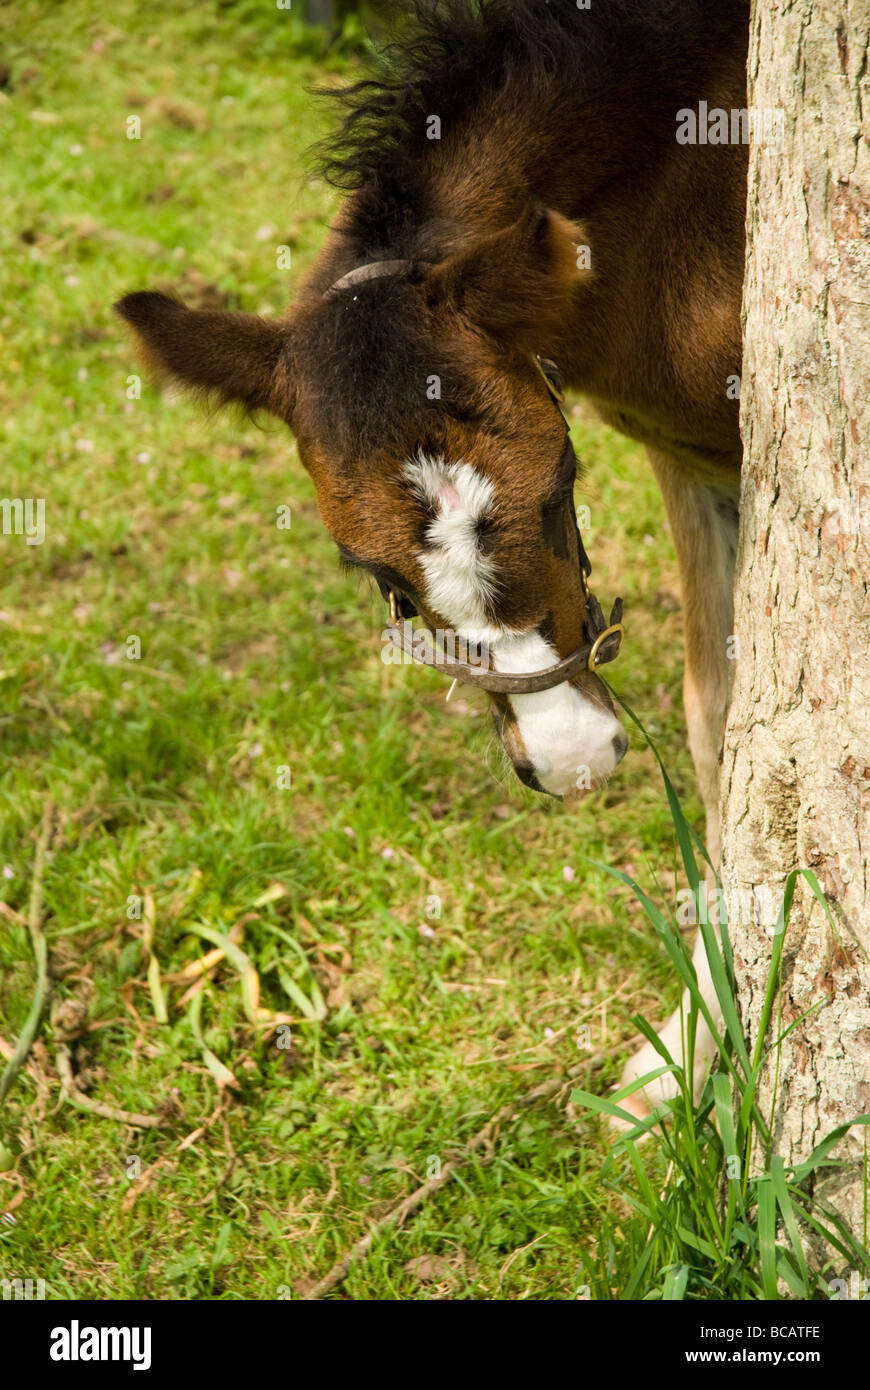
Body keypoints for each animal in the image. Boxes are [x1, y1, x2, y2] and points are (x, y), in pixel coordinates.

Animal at [115, 0, 750, 1114]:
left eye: (562, 485)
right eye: (372, 573)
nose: (571, 758)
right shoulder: (690, 456)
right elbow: (724, 732)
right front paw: (687, 1056)